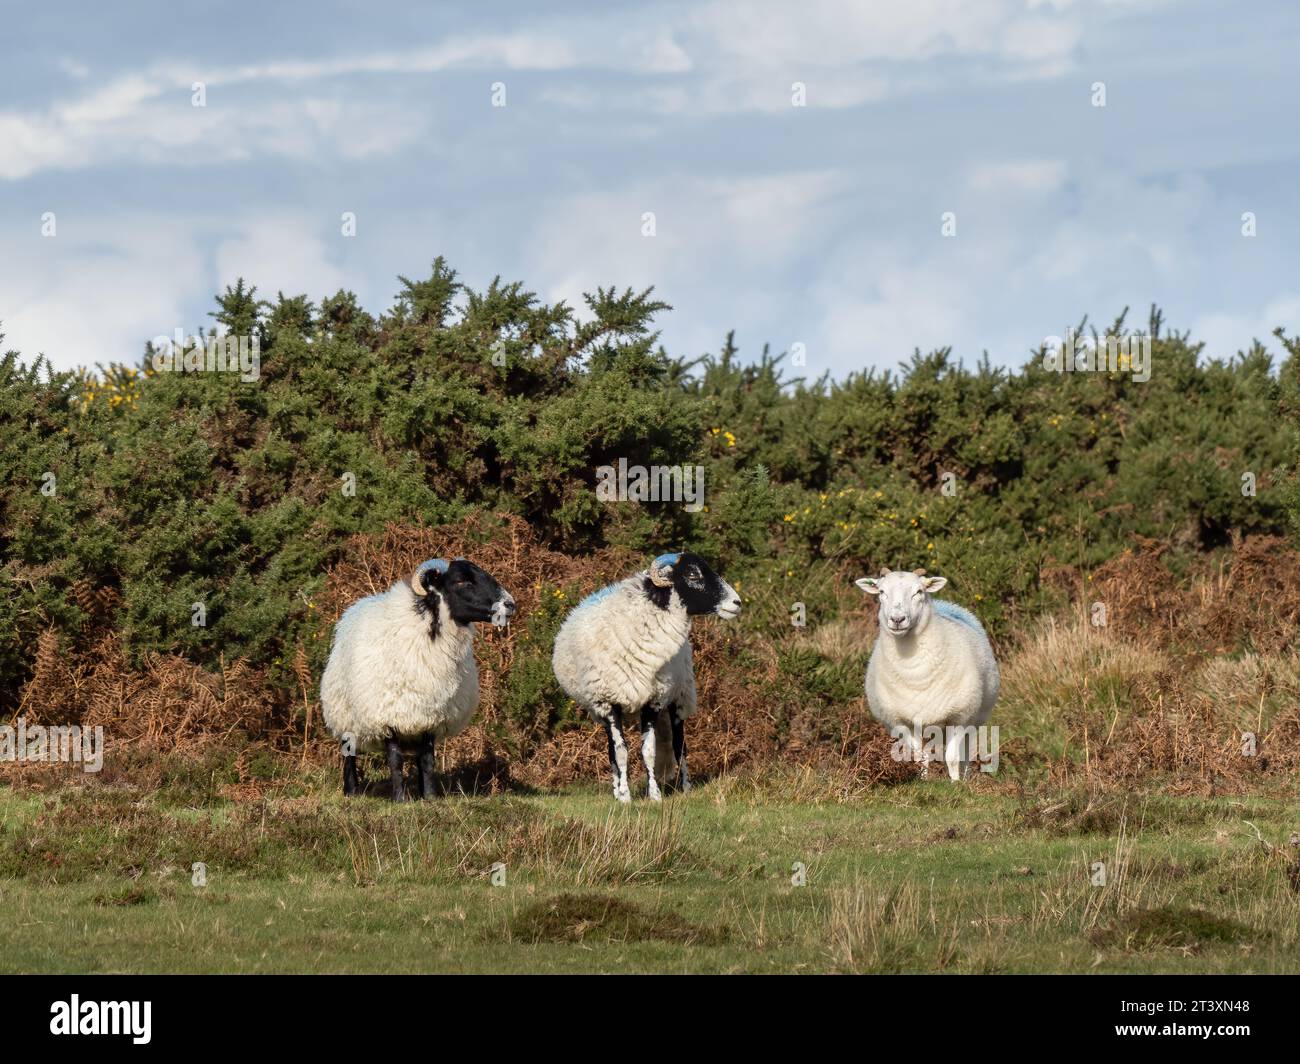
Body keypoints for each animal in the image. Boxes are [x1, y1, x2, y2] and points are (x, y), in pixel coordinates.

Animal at [320, 557, 516, 800]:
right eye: (462, 581)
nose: (510, 604)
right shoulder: (388, 717)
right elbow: (395, 760)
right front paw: (399, 799)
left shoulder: (431, 717)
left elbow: (427, 760)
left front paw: (430, 797)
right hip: (344, 716)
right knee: (349, 754)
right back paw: (351, 791)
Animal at [551, 551, 741, 802]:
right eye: (692, 574)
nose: (737, 602)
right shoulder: (607, 704)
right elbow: (619, 752)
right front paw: (624, 795)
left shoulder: (654, 700)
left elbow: (649, 751)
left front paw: (654, 795)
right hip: (600, 712)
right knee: (612, 750)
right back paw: (617, 788)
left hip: (679, 697)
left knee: (680, 746)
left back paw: (686, 787)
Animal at [855, 567, 998, 780]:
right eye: (881, 592)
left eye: (919, 592)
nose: (897, 620)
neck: (915, 673)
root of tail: (944, 603)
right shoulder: (903, 722)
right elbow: (919, 756)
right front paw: (922, 780)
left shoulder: (959, 716)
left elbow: (953, 757)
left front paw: (956, 783)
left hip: (974, 719)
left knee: (965, 752)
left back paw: (965, 778)